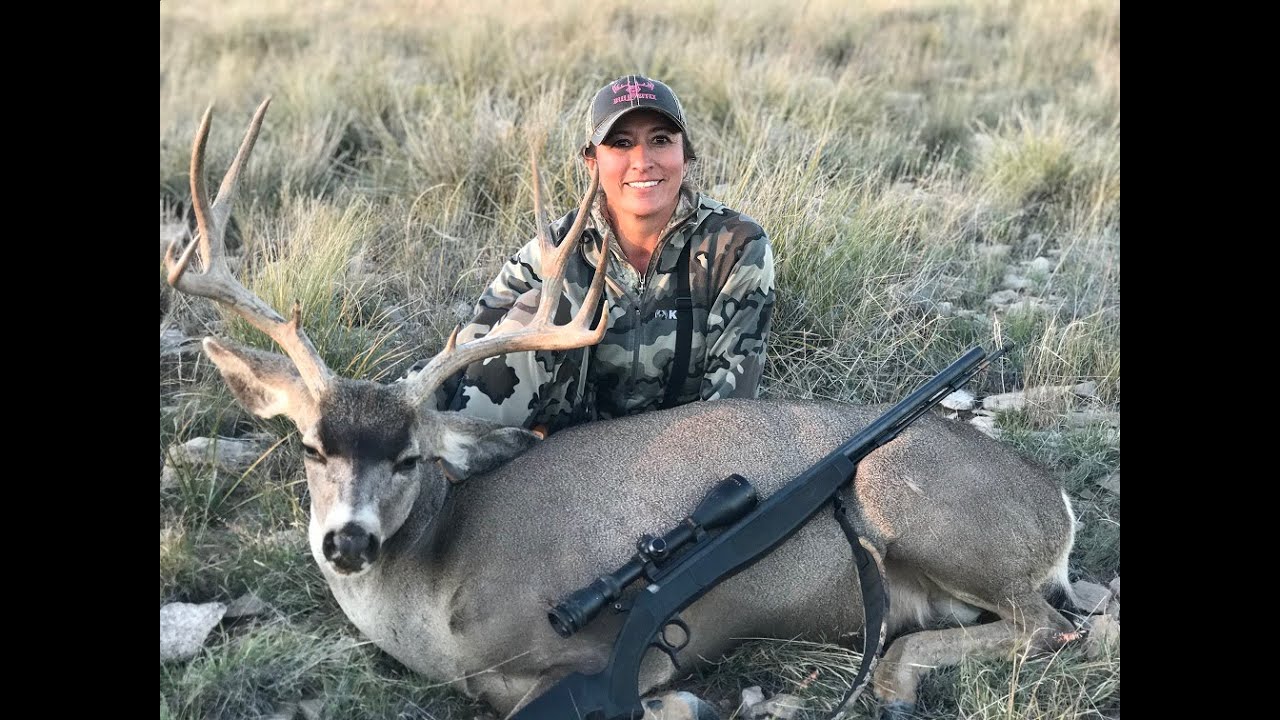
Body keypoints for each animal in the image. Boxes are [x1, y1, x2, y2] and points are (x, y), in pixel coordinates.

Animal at [164, 98, 1082, 720]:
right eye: (311, 447)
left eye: (409, 457)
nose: (347, 541)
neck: (438, 587)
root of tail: (1057, 502)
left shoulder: (604, 654)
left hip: (920, 511)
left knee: (1057, 626)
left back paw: (889, 678)